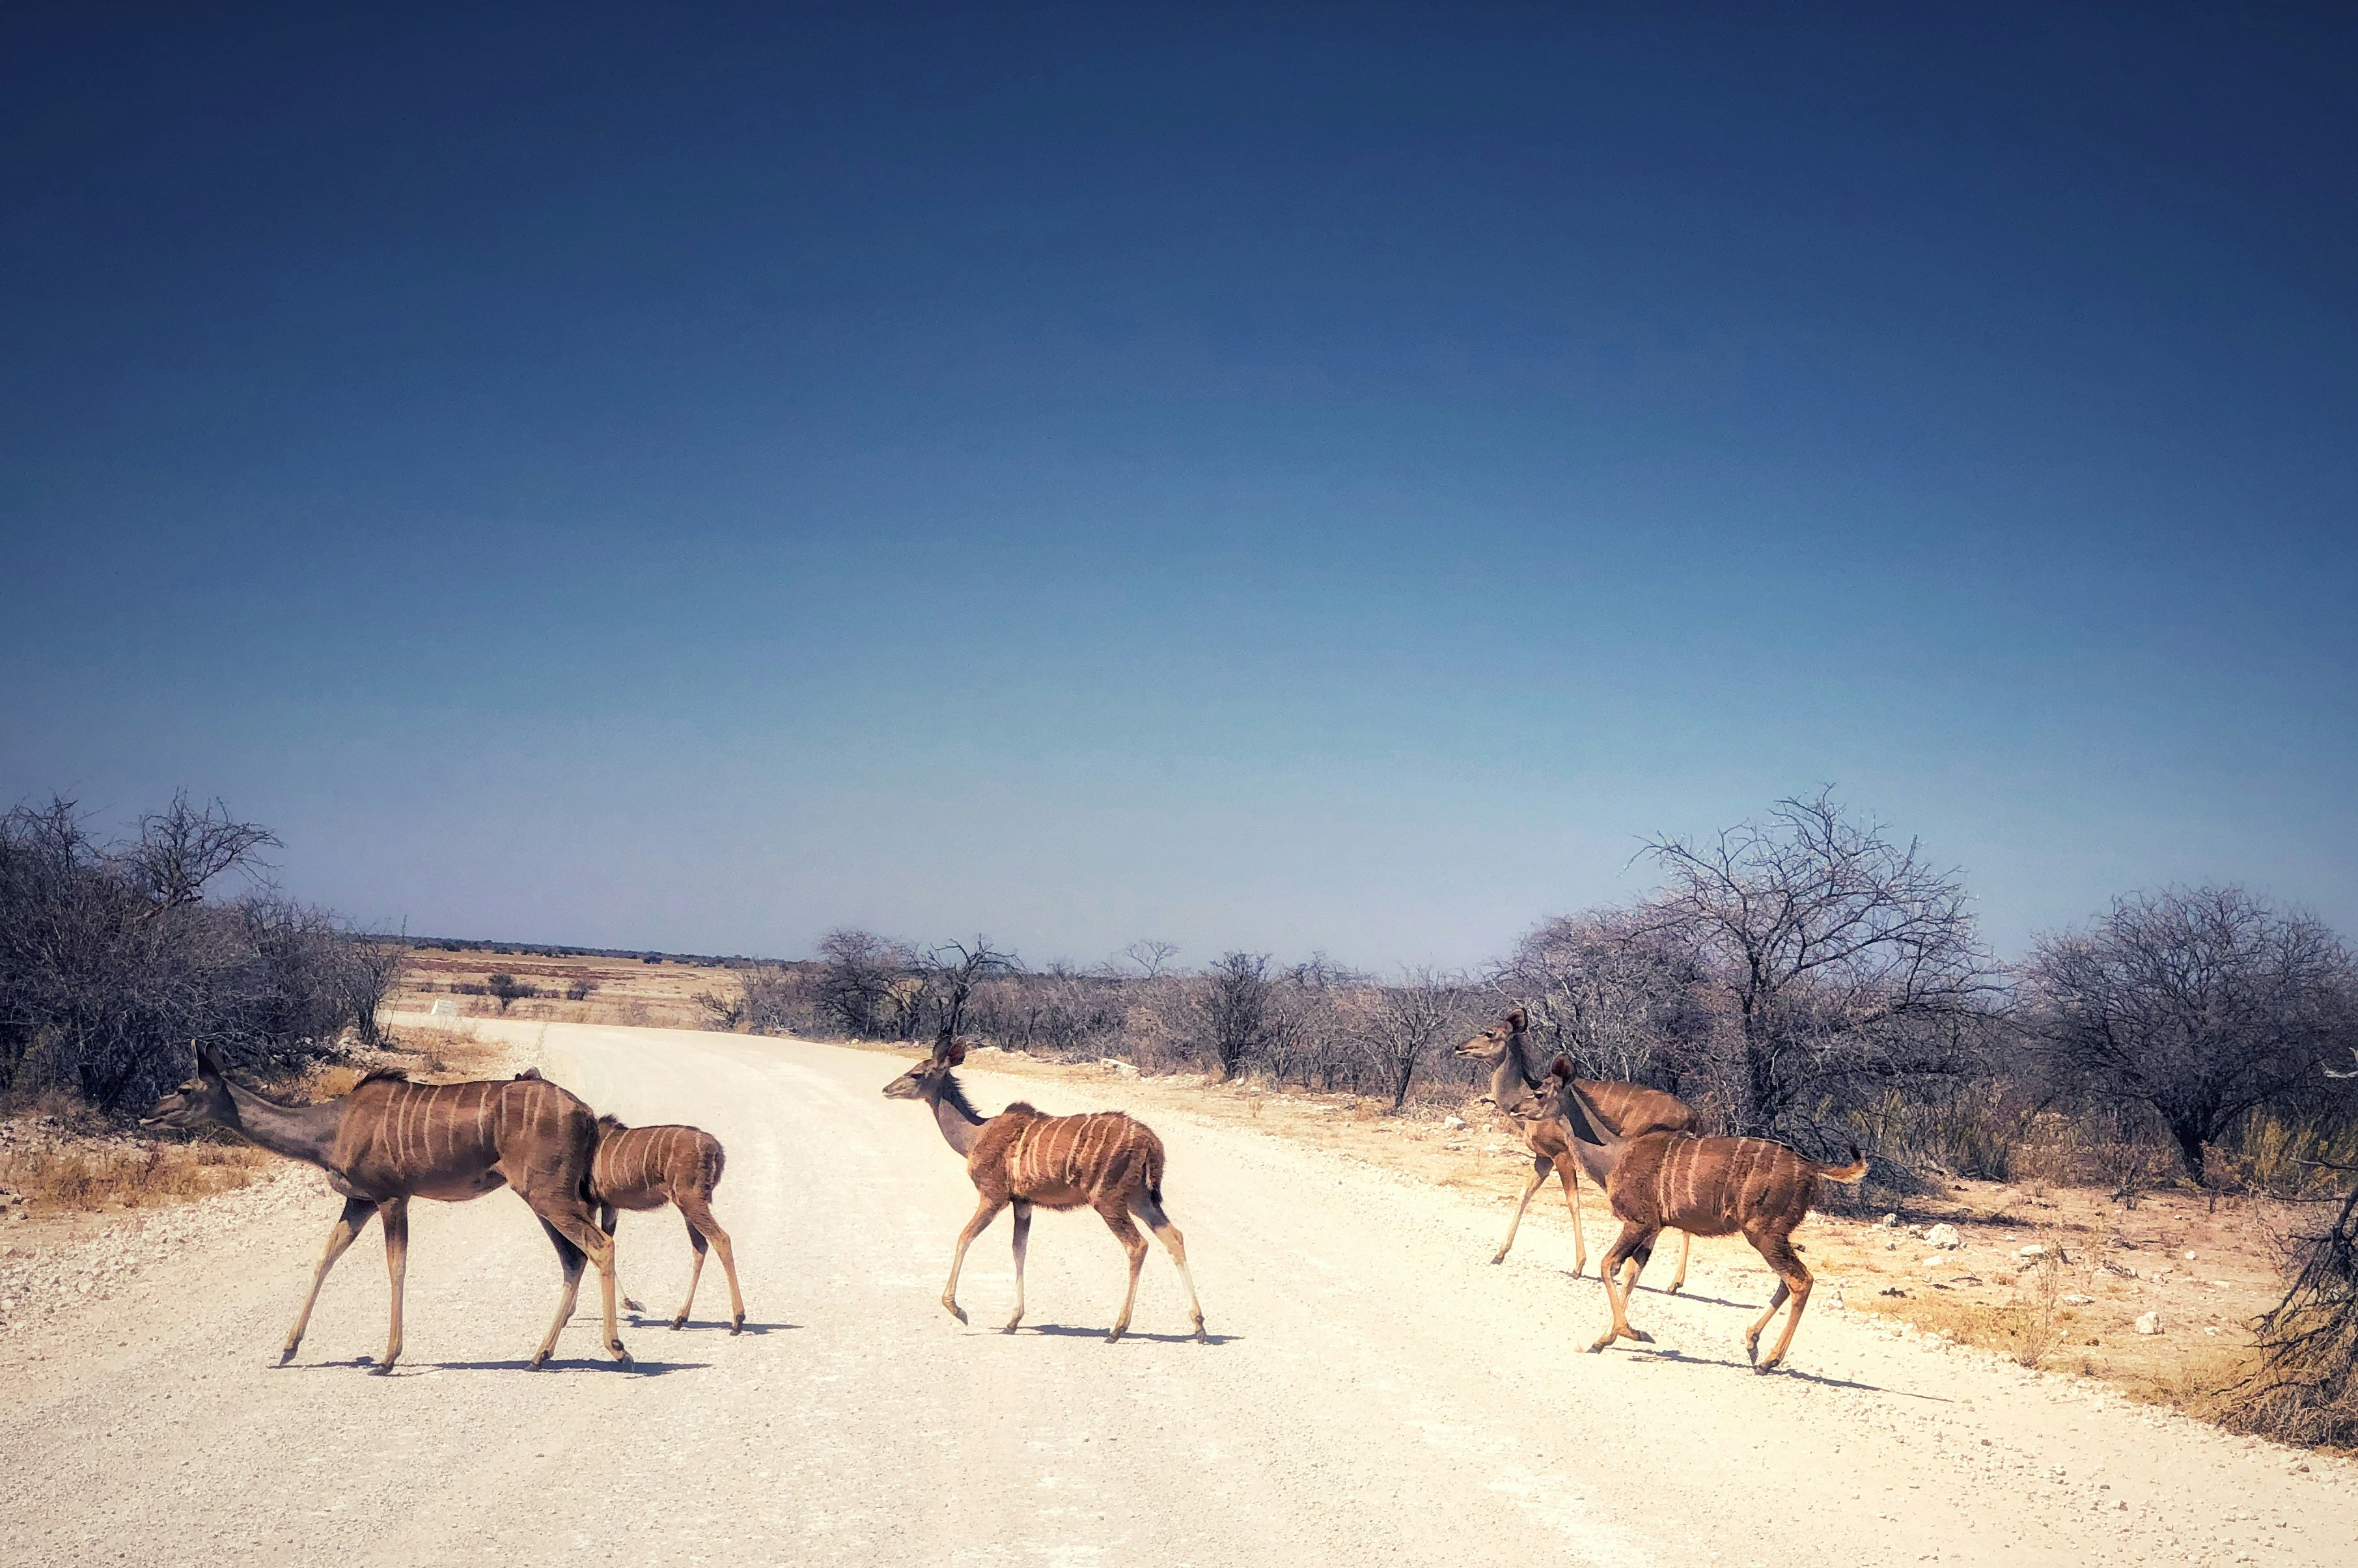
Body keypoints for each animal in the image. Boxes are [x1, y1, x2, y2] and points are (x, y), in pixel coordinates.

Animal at [143, 1046, 629, 1373]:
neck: (333, 1127)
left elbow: (397, 1266)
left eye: (184, 1088)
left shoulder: (392, 1197)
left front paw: (387, 1357)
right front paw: (287, 1349)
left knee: (599, 1245)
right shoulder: (358, 1201)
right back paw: (539, 1354)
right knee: (574, 1257)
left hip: (547, 1194)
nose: (149, 1113)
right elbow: (325, 1258)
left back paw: (617, 1348)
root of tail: (588, 1116)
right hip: (544, 1199)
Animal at [882, 1033, 1207, 1343]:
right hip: (1140, 1199)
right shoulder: (1023, 1201)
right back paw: (1199, 1326)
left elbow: (965, 1237)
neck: (974, 1136)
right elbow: (1019, 1248)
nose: (887, 1089)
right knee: (1174, 1237)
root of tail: (1152, 1143)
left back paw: (1117, 1330)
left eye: (916, 1074)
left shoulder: (994, 1196)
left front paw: (958, 1310)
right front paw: (1012, 1321)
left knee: (1137, 1245)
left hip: (1109, 1199)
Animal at [1453, 1005, 1699, 1289]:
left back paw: (1672, 1283)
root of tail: (1695, 1117)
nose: (1459, 1047)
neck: (1525, 1093)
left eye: (1489, 1033)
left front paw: (1578, 1266)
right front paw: (1499, 1254)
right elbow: (1525, 1193)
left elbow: (1573, 1201)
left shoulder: (1561, 1154)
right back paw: (1671, 1282)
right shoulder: (1543, 1158)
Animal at [1538, 1059, 1867, 1370]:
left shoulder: (1639, 1222)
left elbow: (1609, 1265)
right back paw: (1752, 1342)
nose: (1523, 1110)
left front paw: (1633, 1334)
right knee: (1787, 1282)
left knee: (1800, 1281)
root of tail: (1812, 1167)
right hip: (1774, 1235)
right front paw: (1604, 1339)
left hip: (1764, 1233)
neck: (1615, 1155)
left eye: (1539, 1093)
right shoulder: (1653, 1226)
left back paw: (1768, 1360)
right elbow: (1631, 1272)